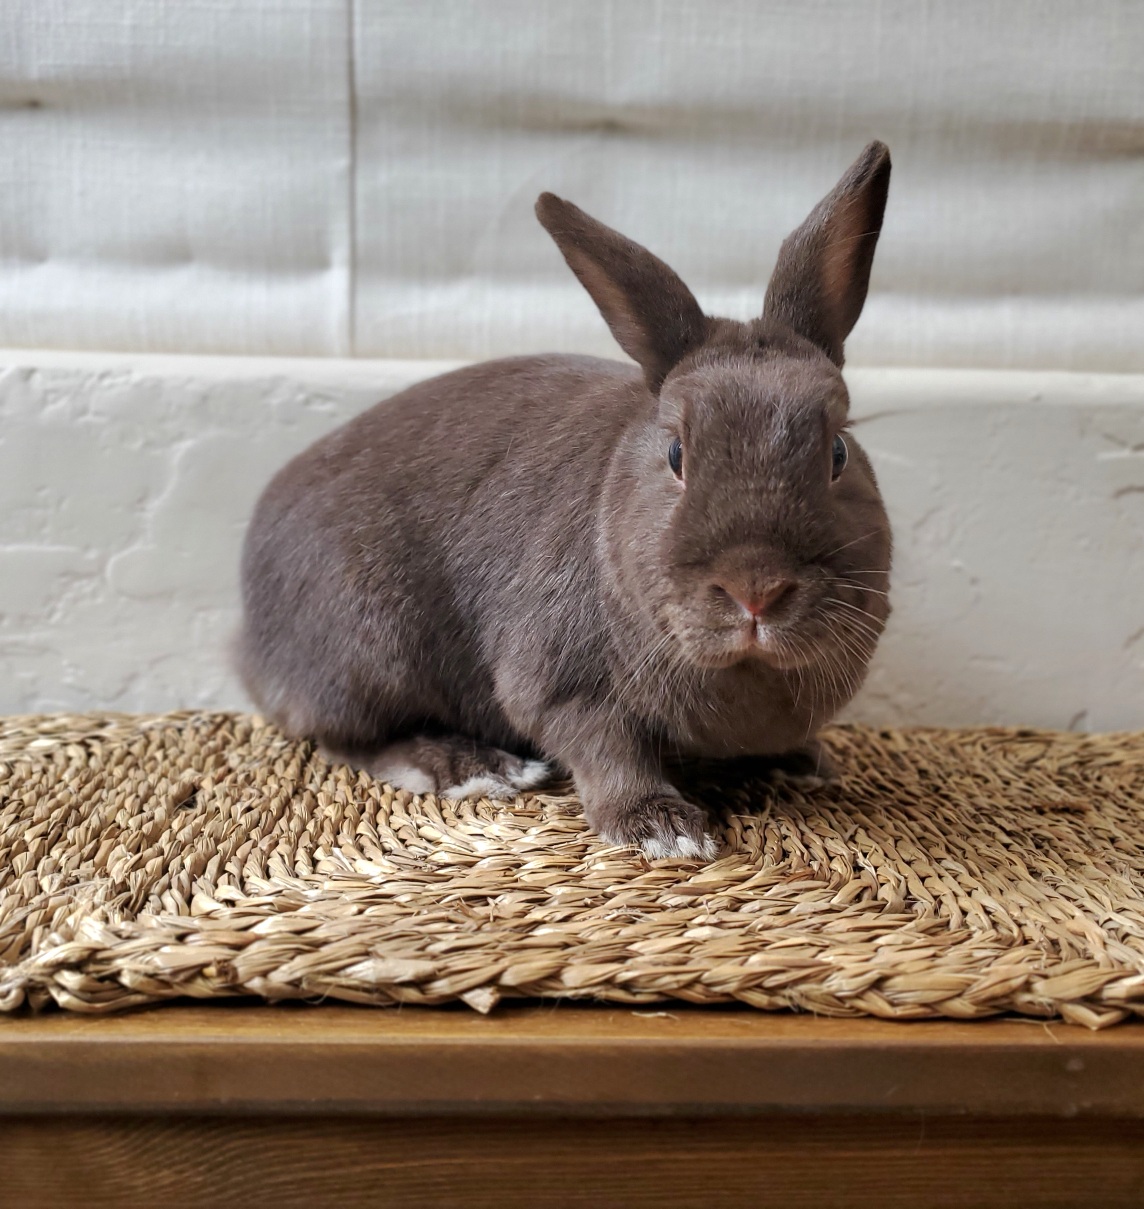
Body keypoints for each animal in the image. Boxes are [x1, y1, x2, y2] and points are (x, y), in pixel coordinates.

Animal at [239, 141, 893, 861]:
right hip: (369, 648)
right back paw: (475, 767)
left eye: (838, 452)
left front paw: (804, 760)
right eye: (676, 454)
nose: (757, 589)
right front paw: (662, 829)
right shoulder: (565, 683)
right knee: (347, 737)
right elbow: (604, 748)